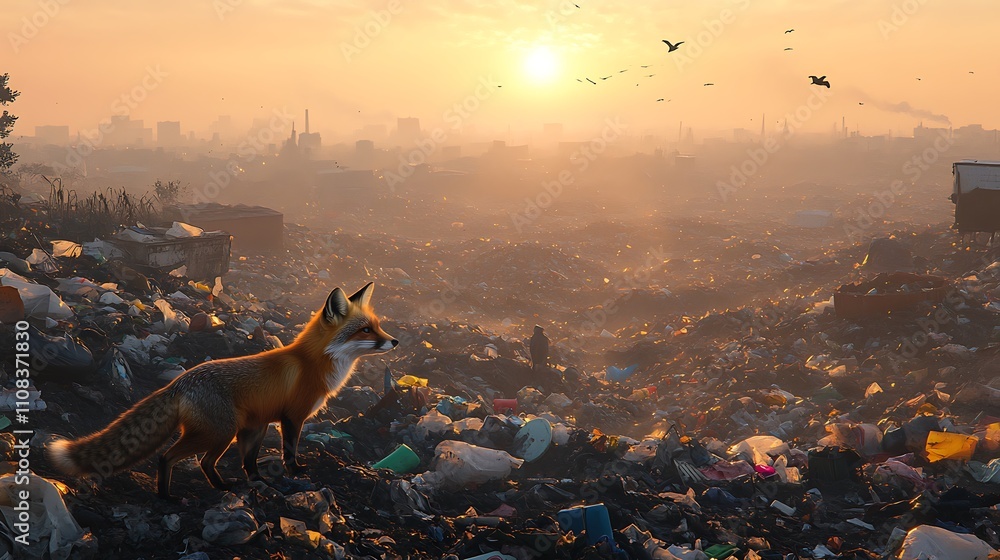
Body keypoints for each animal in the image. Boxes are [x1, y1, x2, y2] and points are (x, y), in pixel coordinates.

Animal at [47, 282, 397, 498]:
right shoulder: (292, 417)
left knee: (195, 462)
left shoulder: (257, 425)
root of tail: (178, 381)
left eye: (377, 326)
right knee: (176, 458)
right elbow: (290, 450)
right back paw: (173, 496)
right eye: (365, 330)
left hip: (226, 431)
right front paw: (295, 471)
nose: (394, 341)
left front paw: (258, 482)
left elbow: (250, 462)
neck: (313, 362)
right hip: (219, 432)